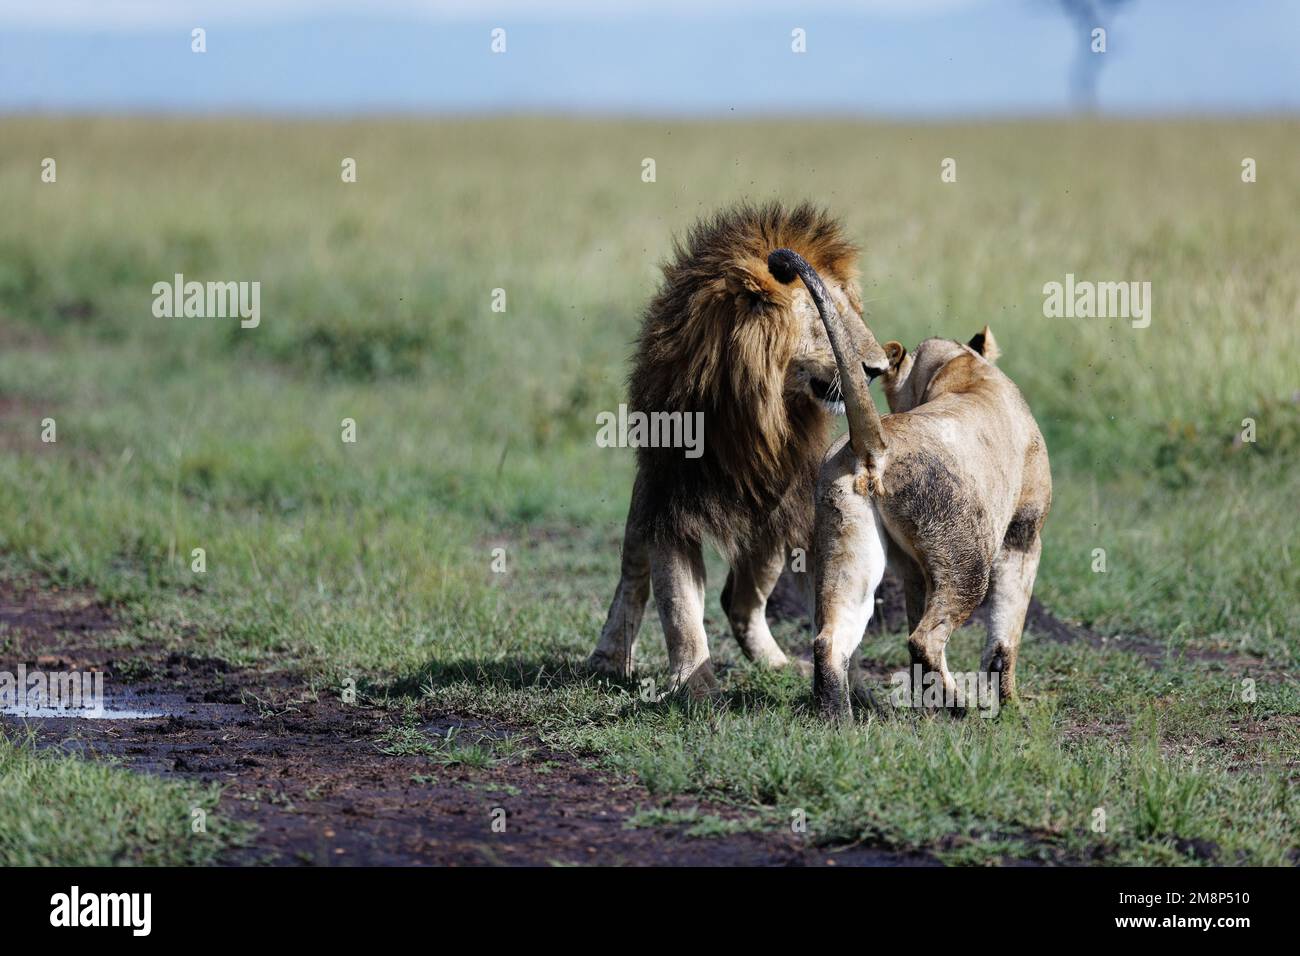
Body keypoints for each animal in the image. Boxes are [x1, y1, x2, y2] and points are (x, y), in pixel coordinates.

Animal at [586, 202, 891, 696]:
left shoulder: (797, 504)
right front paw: (696, 686)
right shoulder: (668, 503)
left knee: (740, 600)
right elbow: (679, 607)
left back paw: (778, 664)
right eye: (827, 323)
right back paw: (608, 658)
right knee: (633, 576)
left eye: (855, 313)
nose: (879, 368)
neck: (752, 414)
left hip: (771, 527)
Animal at [769, 251, 1052, 720]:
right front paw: (1011, 705)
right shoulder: (1023, 535)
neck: (962, 370)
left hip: (848, 542)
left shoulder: (917, 570)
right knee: (925, 638)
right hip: (967, 558)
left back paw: (837, 718)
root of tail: (877, 443)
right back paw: (958, 707)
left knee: (830, 639)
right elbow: (1004, 637)